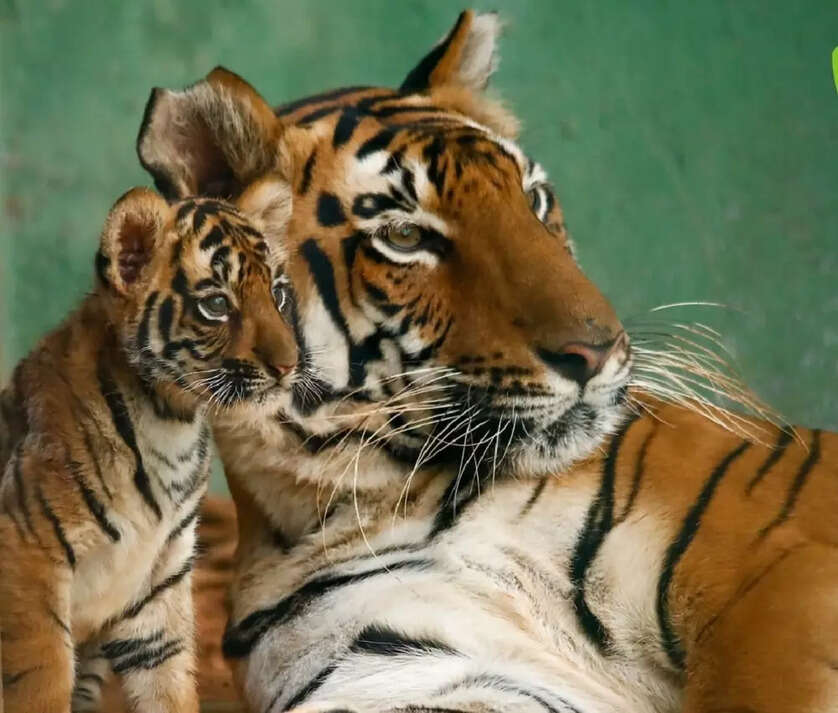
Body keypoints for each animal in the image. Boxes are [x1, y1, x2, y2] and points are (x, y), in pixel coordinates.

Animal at [0, 179, 297, 713]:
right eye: (216, 305)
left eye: (279, 295)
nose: (290, 365)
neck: (170, 422)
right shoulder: (27, 558)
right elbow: (41, 684)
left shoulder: (159, 582)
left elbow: (169, 687)